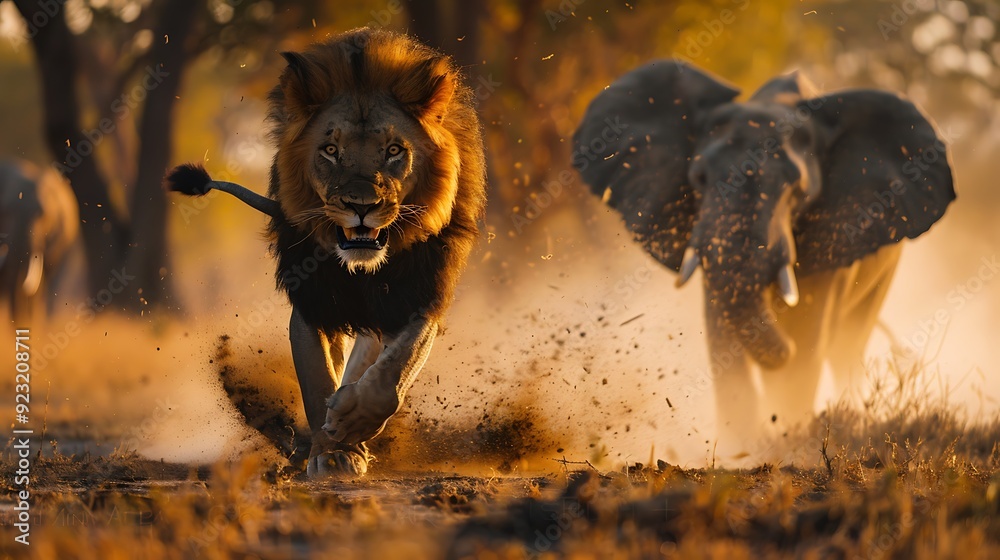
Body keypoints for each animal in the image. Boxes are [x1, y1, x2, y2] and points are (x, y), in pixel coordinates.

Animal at [165, 28, 487, 476]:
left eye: (394, 150)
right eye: (330, 150)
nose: (361, 206)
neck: (361, 268)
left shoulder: (419, 297)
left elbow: (393, 373)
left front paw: (352, 424)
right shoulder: (313, 301)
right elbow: (318, 378)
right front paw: (331, 453)